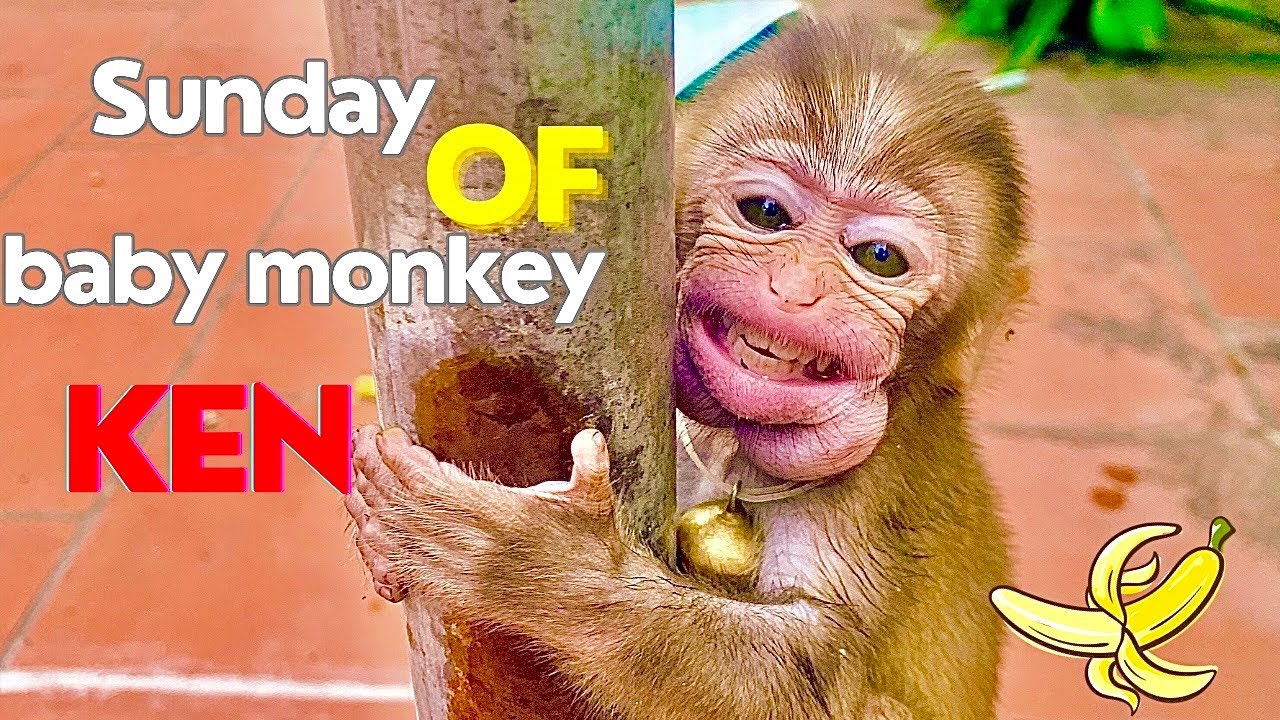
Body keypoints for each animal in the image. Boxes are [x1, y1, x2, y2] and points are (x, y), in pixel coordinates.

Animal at [345, 14, 1028, 720]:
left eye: (879, 258)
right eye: (766, 214)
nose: (794, 287)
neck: (732, 449)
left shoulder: (873, 491)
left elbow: (816, 680)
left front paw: (537, 562)